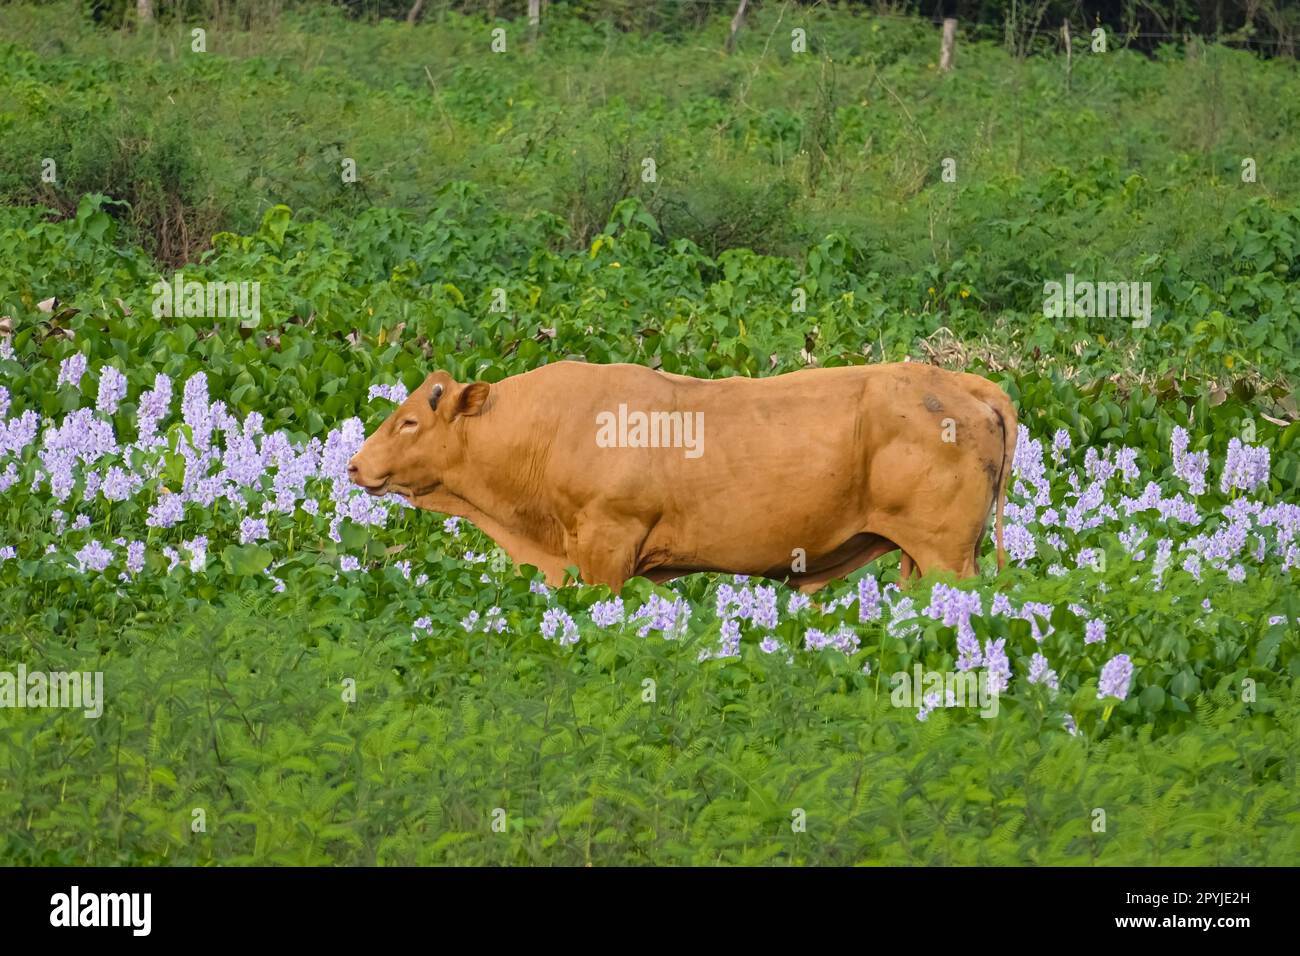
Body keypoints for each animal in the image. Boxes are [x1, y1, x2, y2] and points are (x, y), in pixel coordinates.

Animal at [348, 361, 1017, 592]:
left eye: (409, 421)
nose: (354, 464)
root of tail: (961, 381)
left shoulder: (606, 548)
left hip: (947, 554)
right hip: (918, 557)